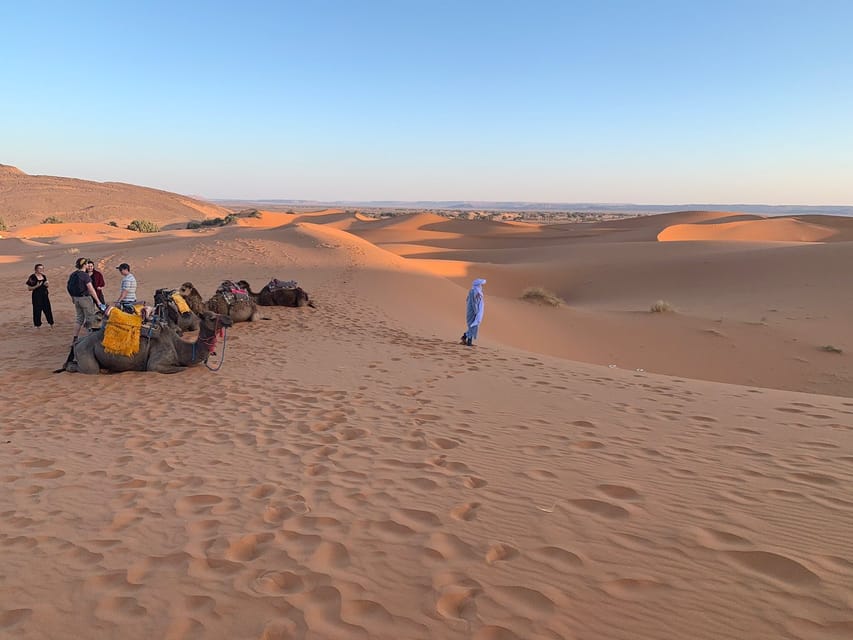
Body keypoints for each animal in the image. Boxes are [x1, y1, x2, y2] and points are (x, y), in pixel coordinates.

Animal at [67, 310, 233, 374]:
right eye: (212, 318)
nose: (229, 320)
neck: (179, 347)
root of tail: (77, 343)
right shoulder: (156, 363)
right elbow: (181, 368)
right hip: (86, 353)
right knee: (87, 369)